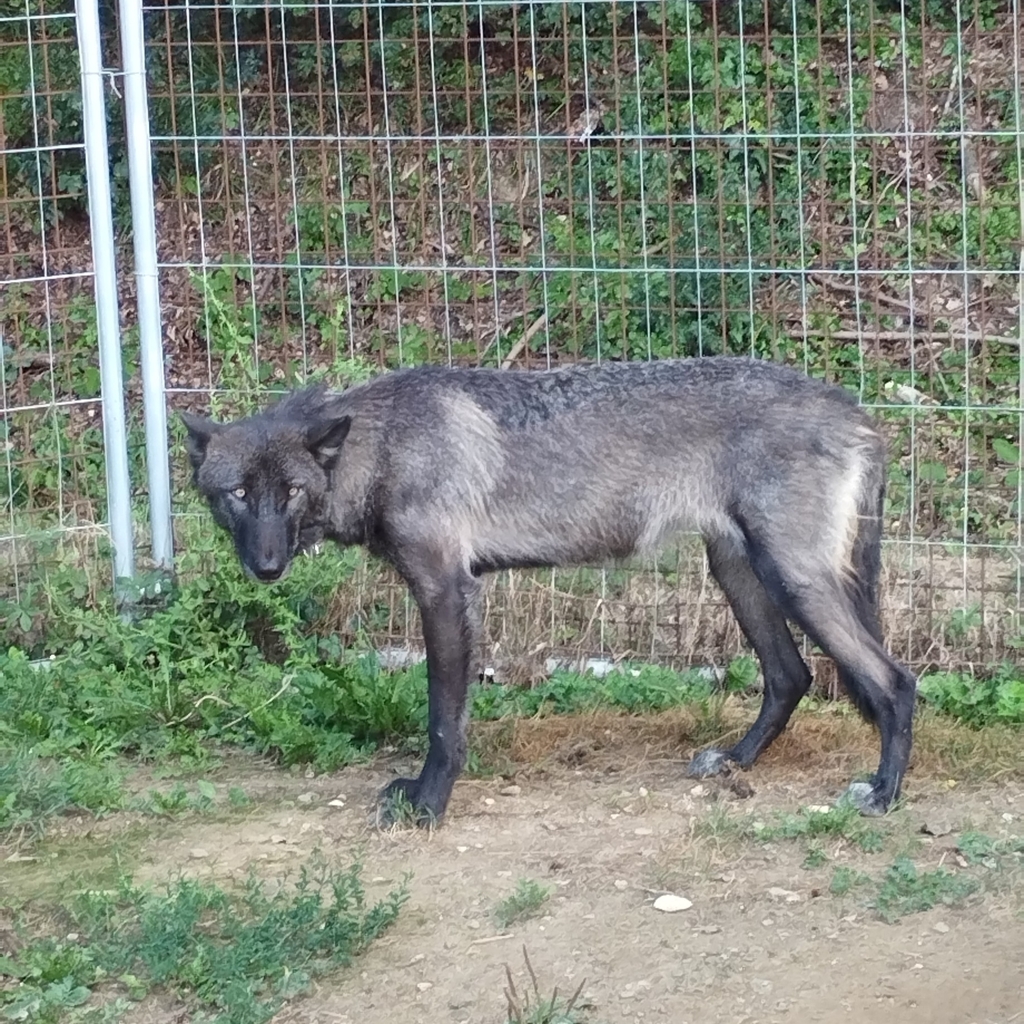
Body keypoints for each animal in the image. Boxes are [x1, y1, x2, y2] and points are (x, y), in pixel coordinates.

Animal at [181, 356, 917, 826]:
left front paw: (428, 806)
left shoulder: (446, 592)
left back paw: (883, 796)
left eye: (291, 492)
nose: (266, 567)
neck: (383, 445)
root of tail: (856, 412)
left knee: (895, 680)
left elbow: (443, 721)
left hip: (794, 579)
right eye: (238, 495)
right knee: (791, 676)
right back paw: (735, 762)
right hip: (740, 574)